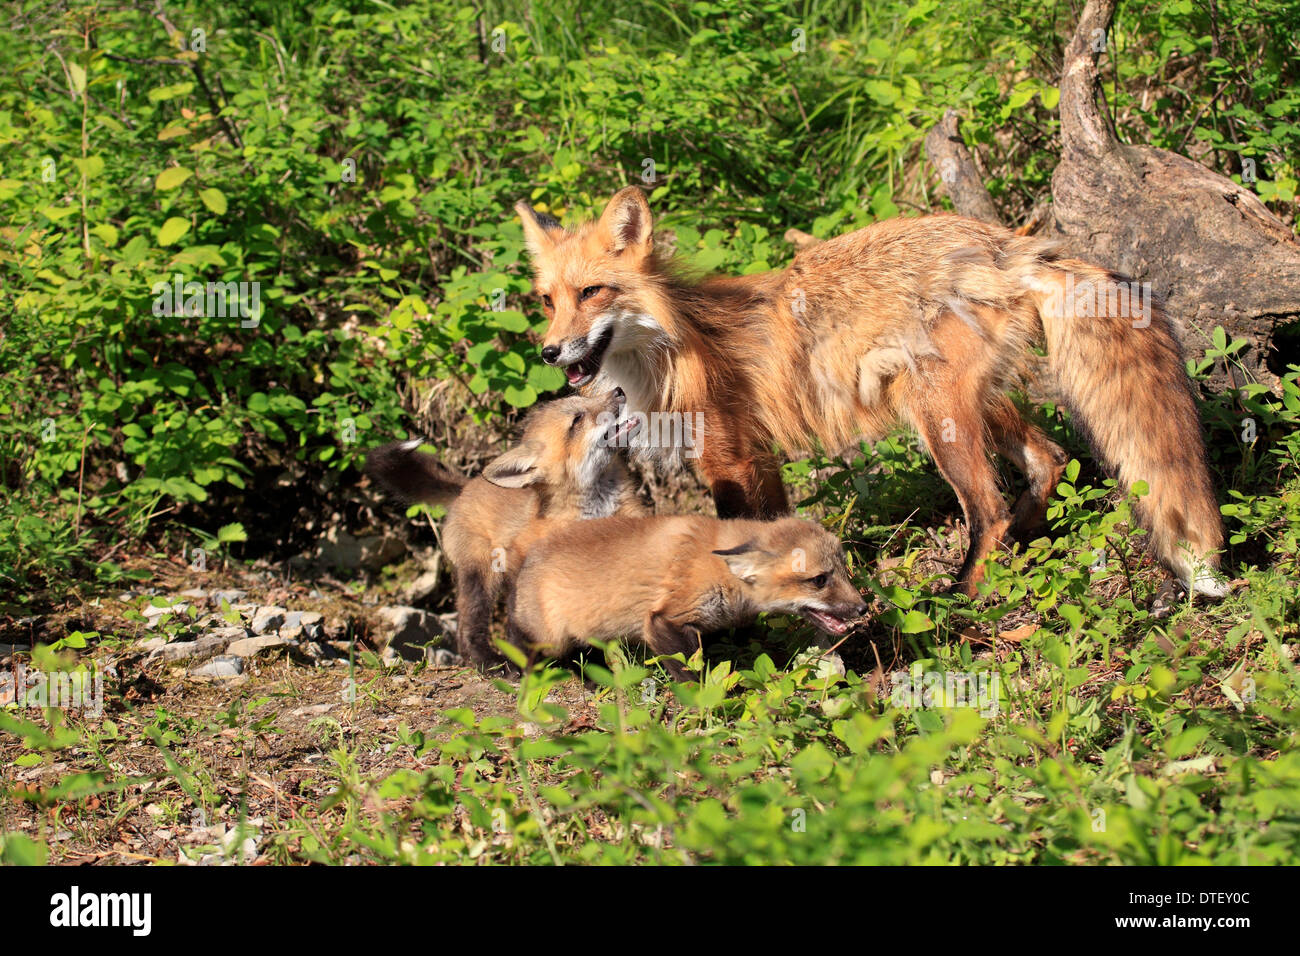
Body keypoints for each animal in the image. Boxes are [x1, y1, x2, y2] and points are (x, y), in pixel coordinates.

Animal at [365, 388, 646, 669]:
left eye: (583, 399)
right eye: (577, 419)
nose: (618, 390)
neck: (596, 510)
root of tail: (466, 486)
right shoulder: (527, 567)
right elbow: (527, 627)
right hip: (481, 576)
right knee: (467, 627)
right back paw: (486, 663)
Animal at [508, 514, 867, 681]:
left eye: (844, 570)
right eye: (819, 580)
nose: (863, 608)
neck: (717, 567)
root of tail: (530, 552)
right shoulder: (665, 621)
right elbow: (690, 673)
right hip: (549, 640)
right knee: (520, 642)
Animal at [513, 186, 1228, 599]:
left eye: (593, 292)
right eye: (548, 301)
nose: (549, 352)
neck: (674, 343)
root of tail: (1009, 244)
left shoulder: (728, 458)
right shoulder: (759, 459)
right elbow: (775, 535)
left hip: (935, 414)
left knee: (989, 509)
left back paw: (961, 598)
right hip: (972, 402)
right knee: (1048, 460)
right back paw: (1025, 547)